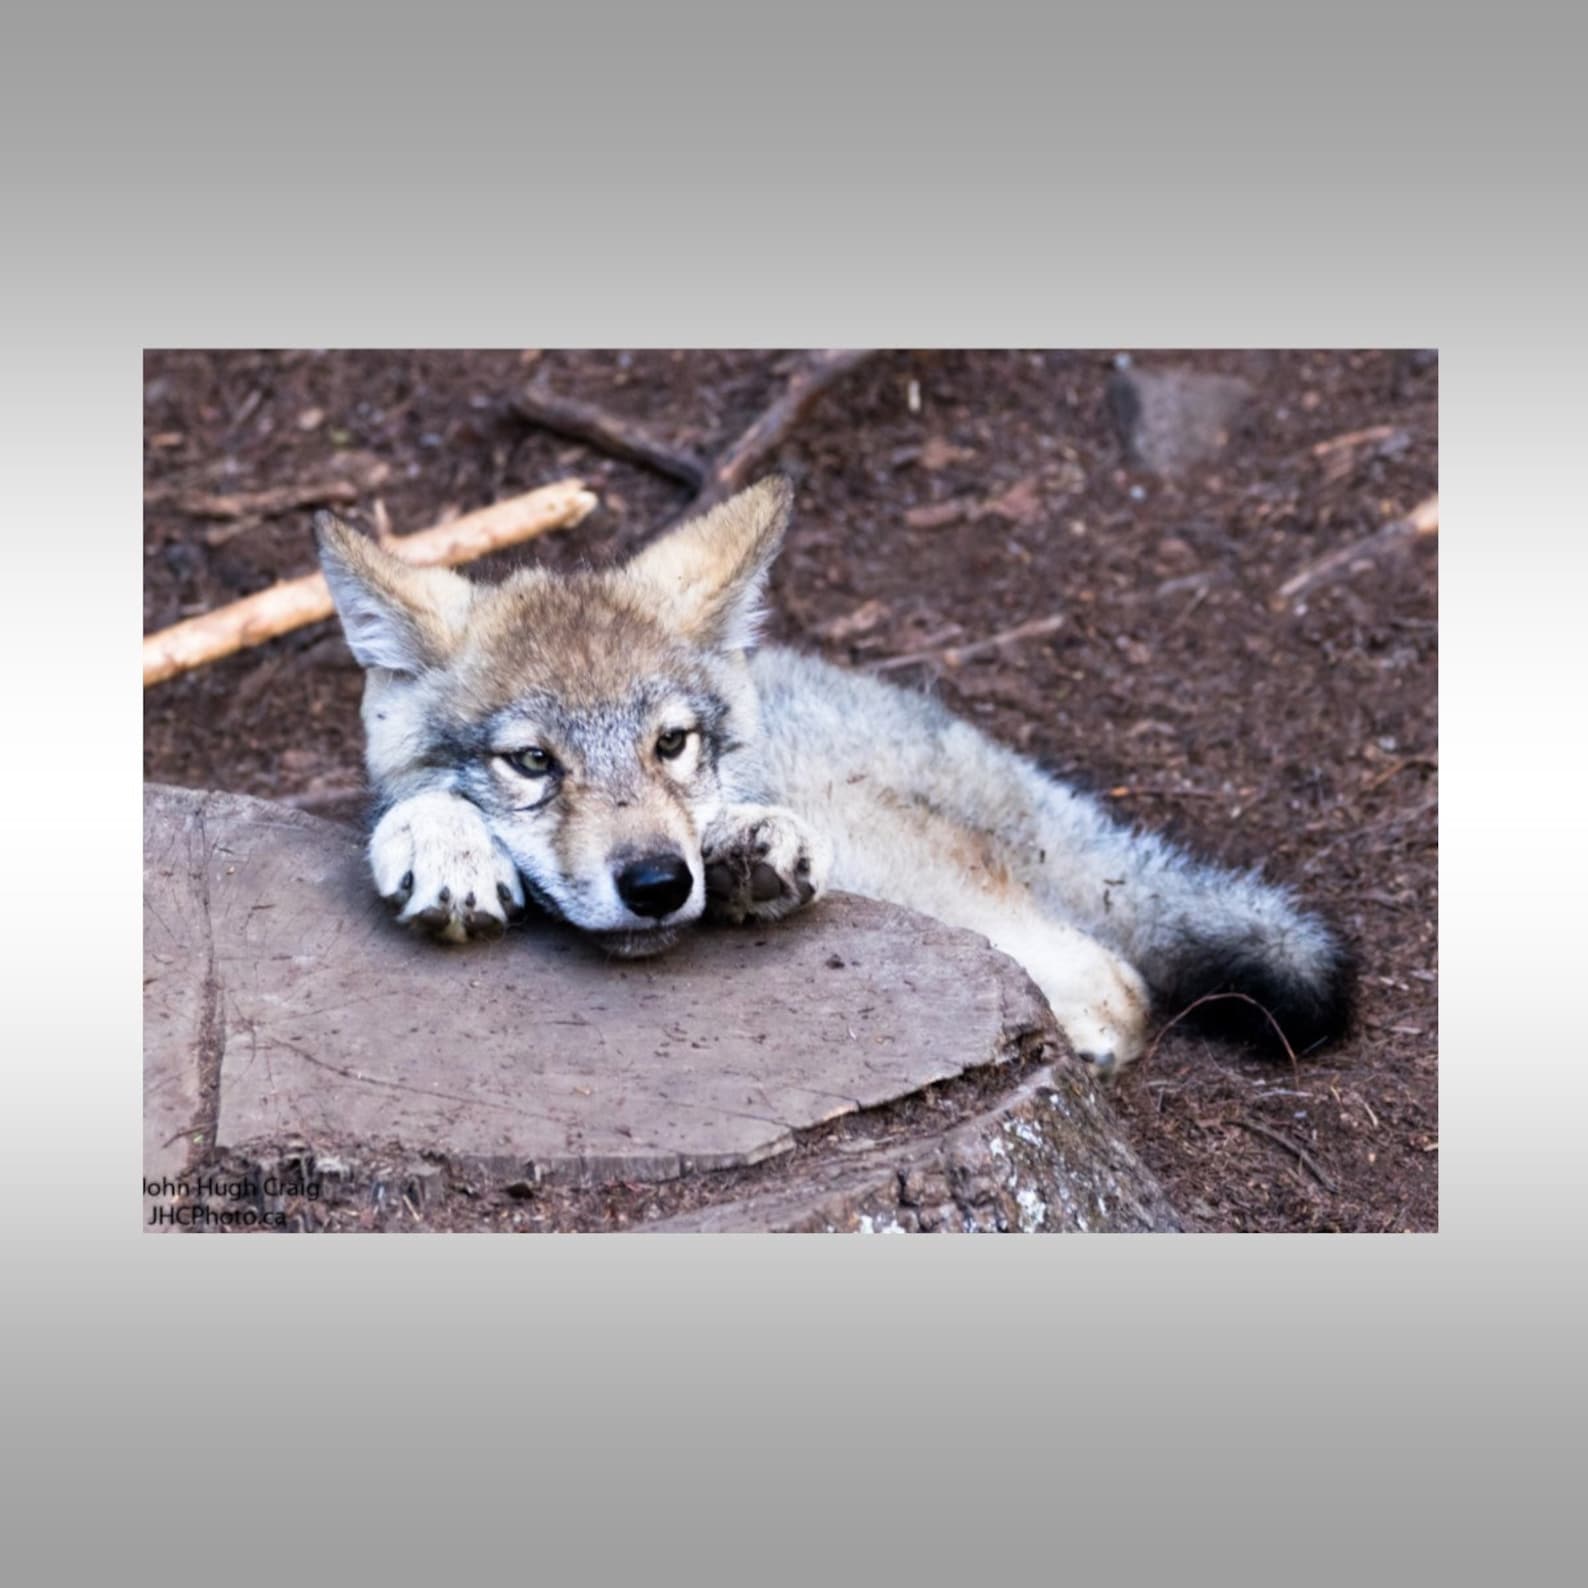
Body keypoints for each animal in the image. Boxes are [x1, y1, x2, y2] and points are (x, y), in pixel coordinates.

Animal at [315, 476, 1352, 1073]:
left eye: (671, 744)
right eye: (532, 762)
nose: (657, 885)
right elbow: (417, 803)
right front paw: (443, 845)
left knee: (1113, 980)